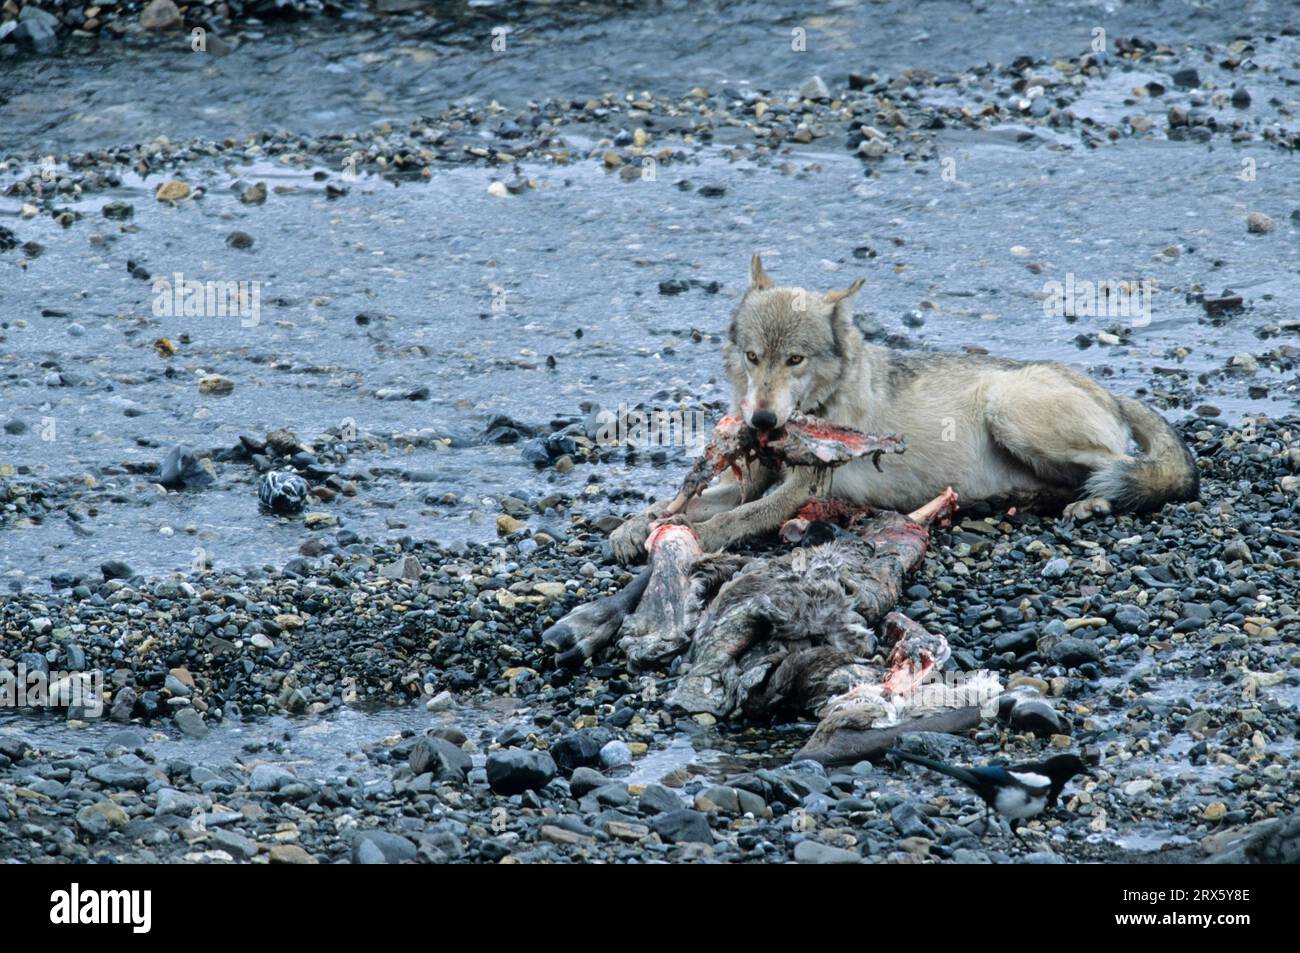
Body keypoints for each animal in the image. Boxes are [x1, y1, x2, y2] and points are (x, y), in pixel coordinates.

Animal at [609, 255, 1198, 562]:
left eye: (795, 359)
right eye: (754, 357)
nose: (762, 422)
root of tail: (1108, 389)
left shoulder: (797, 492)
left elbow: (734, 519)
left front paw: (697, 538)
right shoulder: (756, 482)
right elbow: (679, 503)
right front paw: (638, 526)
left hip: (1007, 410)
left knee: (1132, 468)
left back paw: (1096, 502)